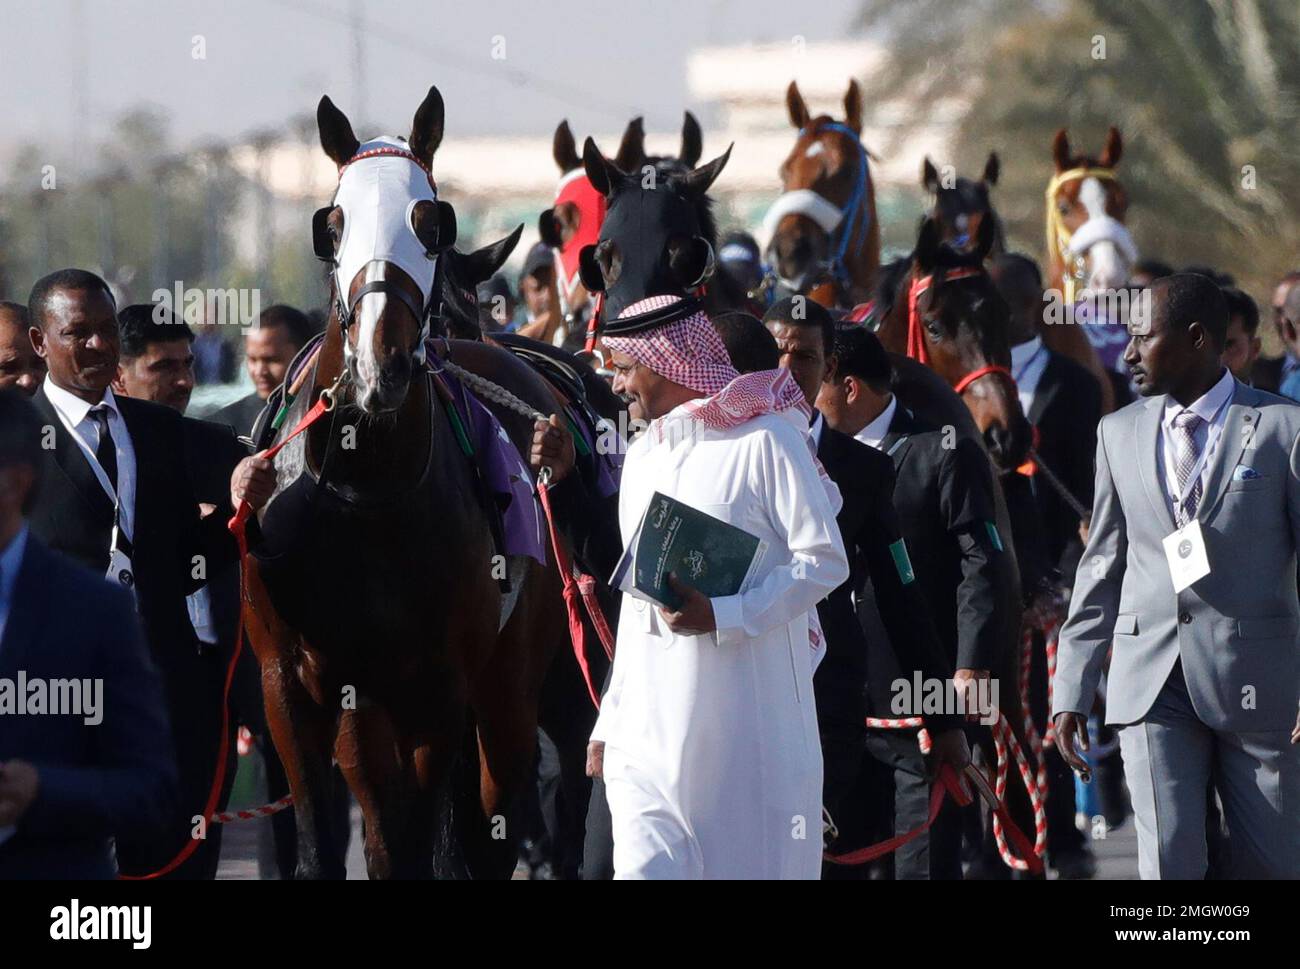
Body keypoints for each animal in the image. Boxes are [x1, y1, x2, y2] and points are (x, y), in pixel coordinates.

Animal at [242, 86, 586, 879]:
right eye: (332, 225)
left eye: (430, 221)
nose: (382, 364)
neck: (366, 493)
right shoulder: (294, 686)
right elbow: (333, 839)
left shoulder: (439, 686)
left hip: (513, 686)